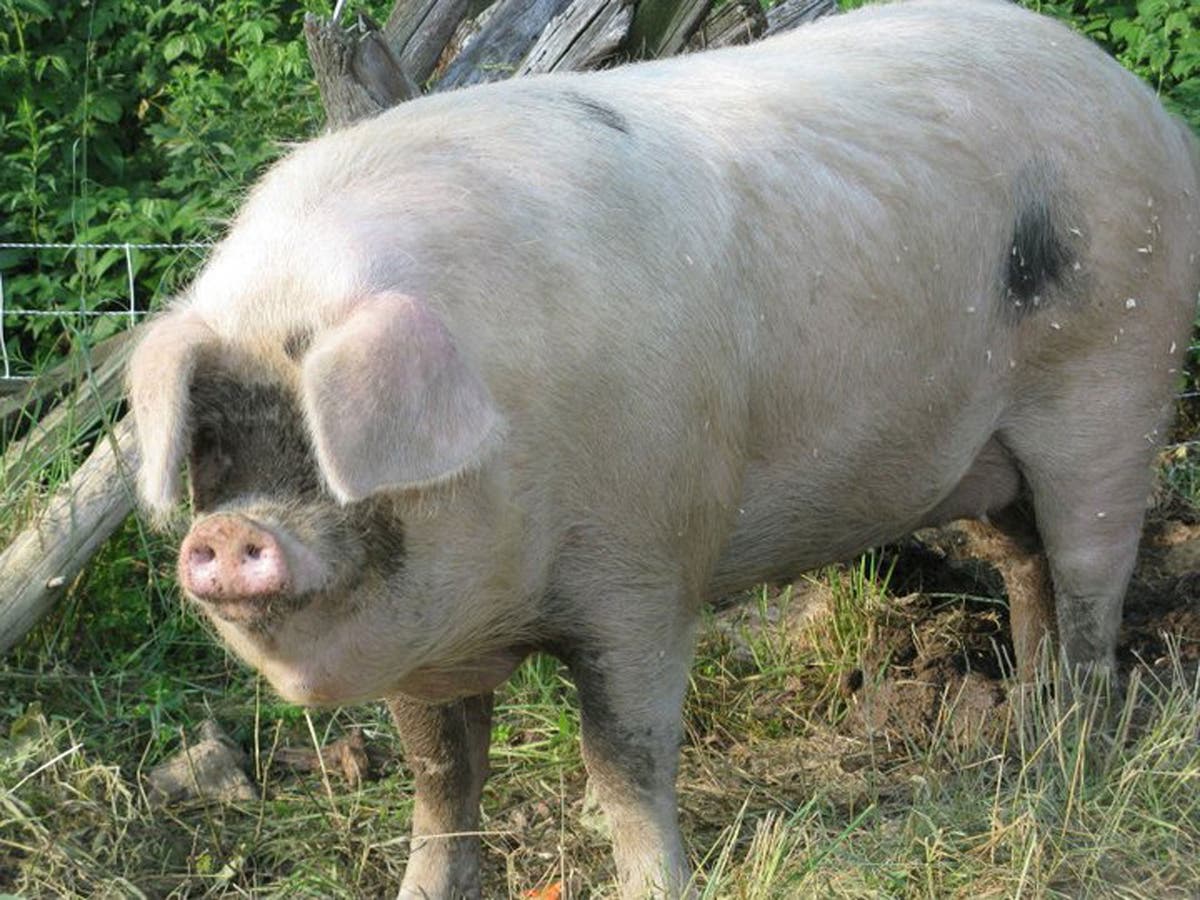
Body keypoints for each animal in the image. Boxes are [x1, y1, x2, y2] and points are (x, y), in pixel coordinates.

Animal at [127, 0, 1200, 895]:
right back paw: (1032, 725)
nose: (228, 534)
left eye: (327, 437)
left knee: (1093, 579)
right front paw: (425, 891)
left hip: (1115, 385)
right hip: (988, 452)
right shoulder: (427, 647)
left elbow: (626, 755)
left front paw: (659, 884)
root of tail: (1152, 112)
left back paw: (1076, 747)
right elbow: (440, 773)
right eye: (214, 445)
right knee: (1026, 565)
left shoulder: (646, 565)